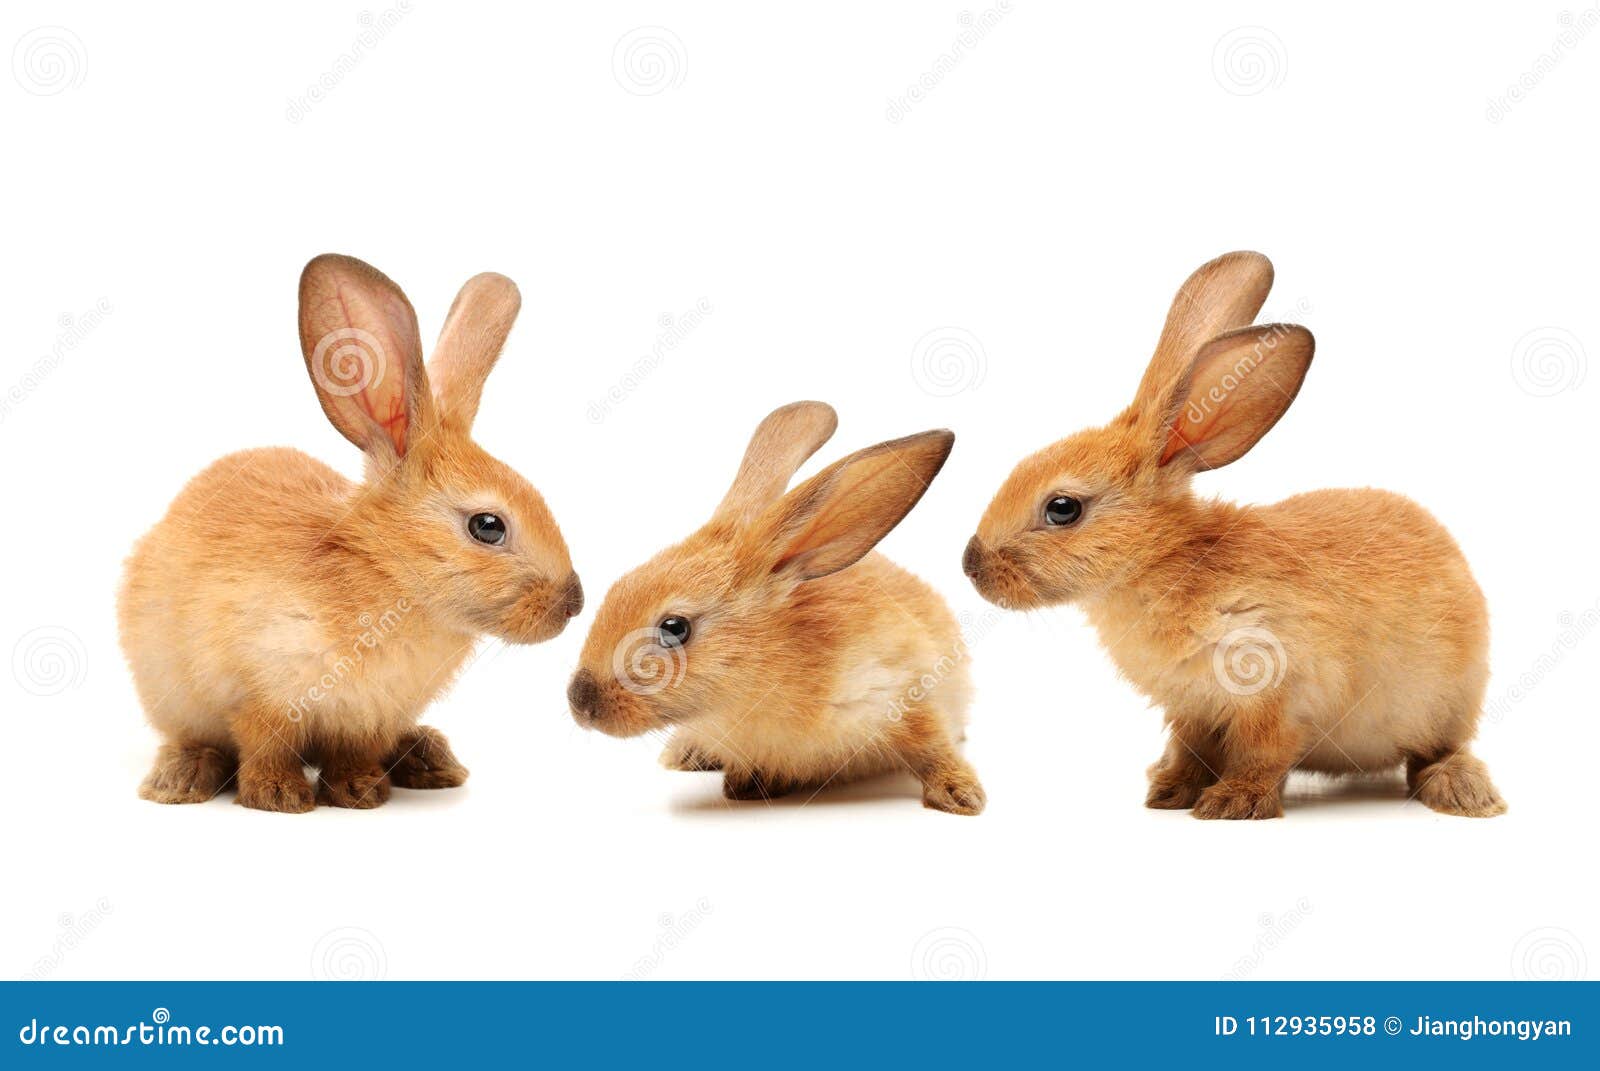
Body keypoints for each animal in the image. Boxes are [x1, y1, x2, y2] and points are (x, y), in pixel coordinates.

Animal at [118, 254, 583, 813]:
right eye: (487, 527)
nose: (574, 602)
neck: (388, 575)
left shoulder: (366, 720)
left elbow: (352, 753)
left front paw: (360, 791)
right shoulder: (260, 692)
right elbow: (265, 744)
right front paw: (279, 796)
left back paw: (429, 759)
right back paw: (179, 778)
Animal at [962, 251, 1505, 820]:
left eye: (1062, 508)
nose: (970, 563)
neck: (1162, 560)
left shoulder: (1278, 695)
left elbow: (1261, 755)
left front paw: (1231, 803)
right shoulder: (1191, 709)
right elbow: (1190, 750)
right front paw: (1170, 793)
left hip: (1448, 705)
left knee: (1441, 750)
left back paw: (1464, 791)